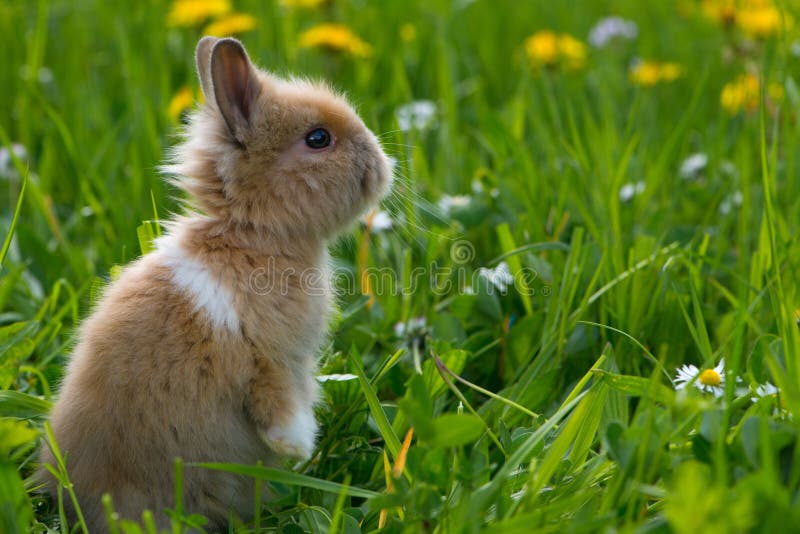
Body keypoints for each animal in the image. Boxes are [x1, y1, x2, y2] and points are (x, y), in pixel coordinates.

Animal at [39, 36, 392, 532]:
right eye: (318, 139)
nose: (382, 165)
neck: (249, 236)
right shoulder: (274, 358)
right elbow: (280, 404)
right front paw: (298, 447)